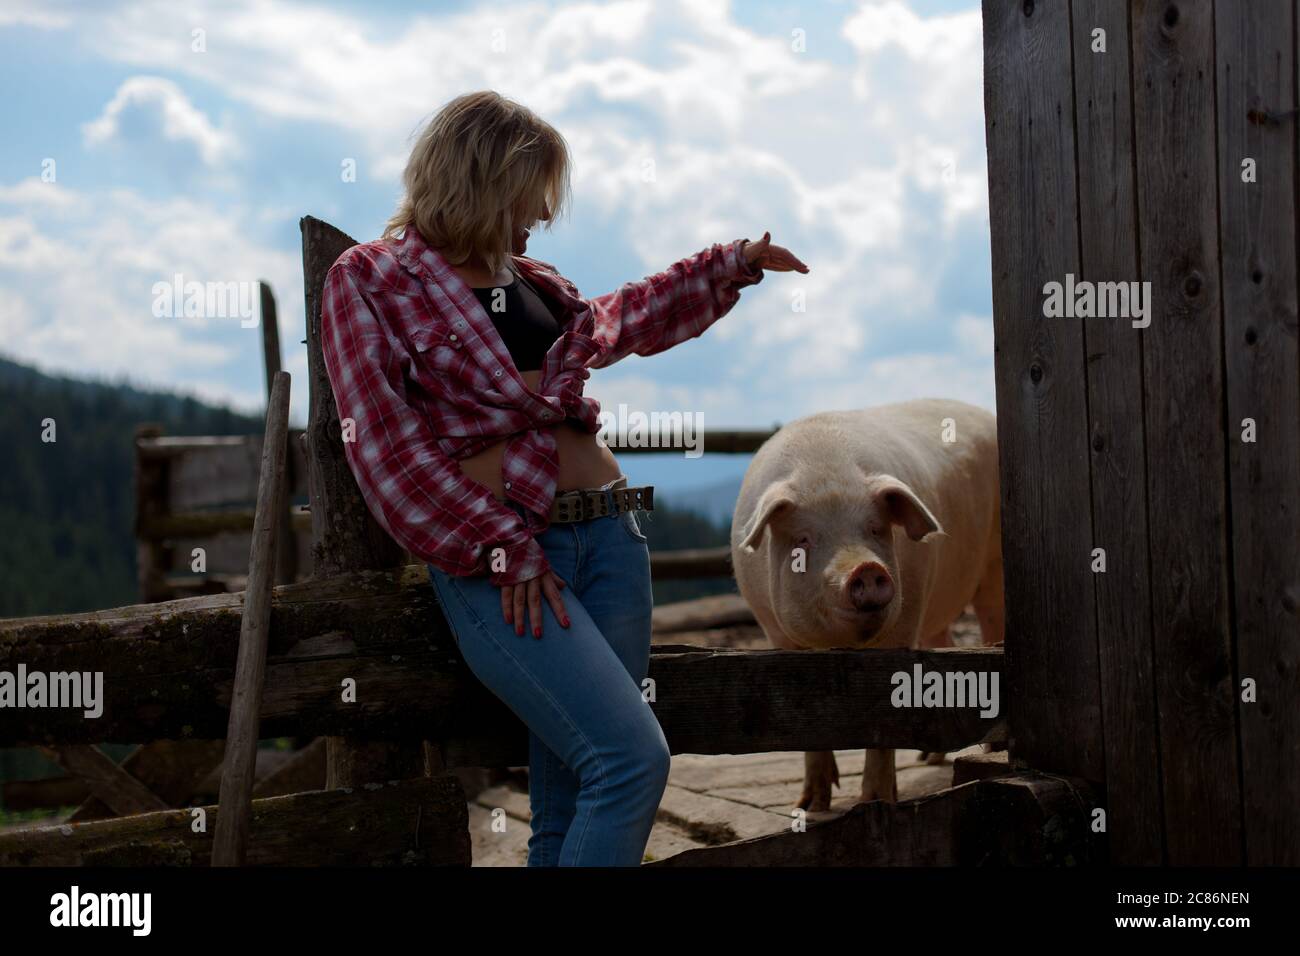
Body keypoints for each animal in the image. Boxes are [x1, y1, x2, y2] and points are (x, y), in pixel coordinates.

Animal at [730, 398, 1003, 811]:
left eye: (875, 529)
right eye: (803, 539)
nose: (867, 567)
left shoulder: (905, 620)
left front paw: (874, 804)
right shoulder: (775, 633)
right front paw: (810, 807)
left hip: (993, 567)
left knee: (993, 630)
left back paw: (990, 751)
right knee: (944, 642)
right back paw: (930, 758)